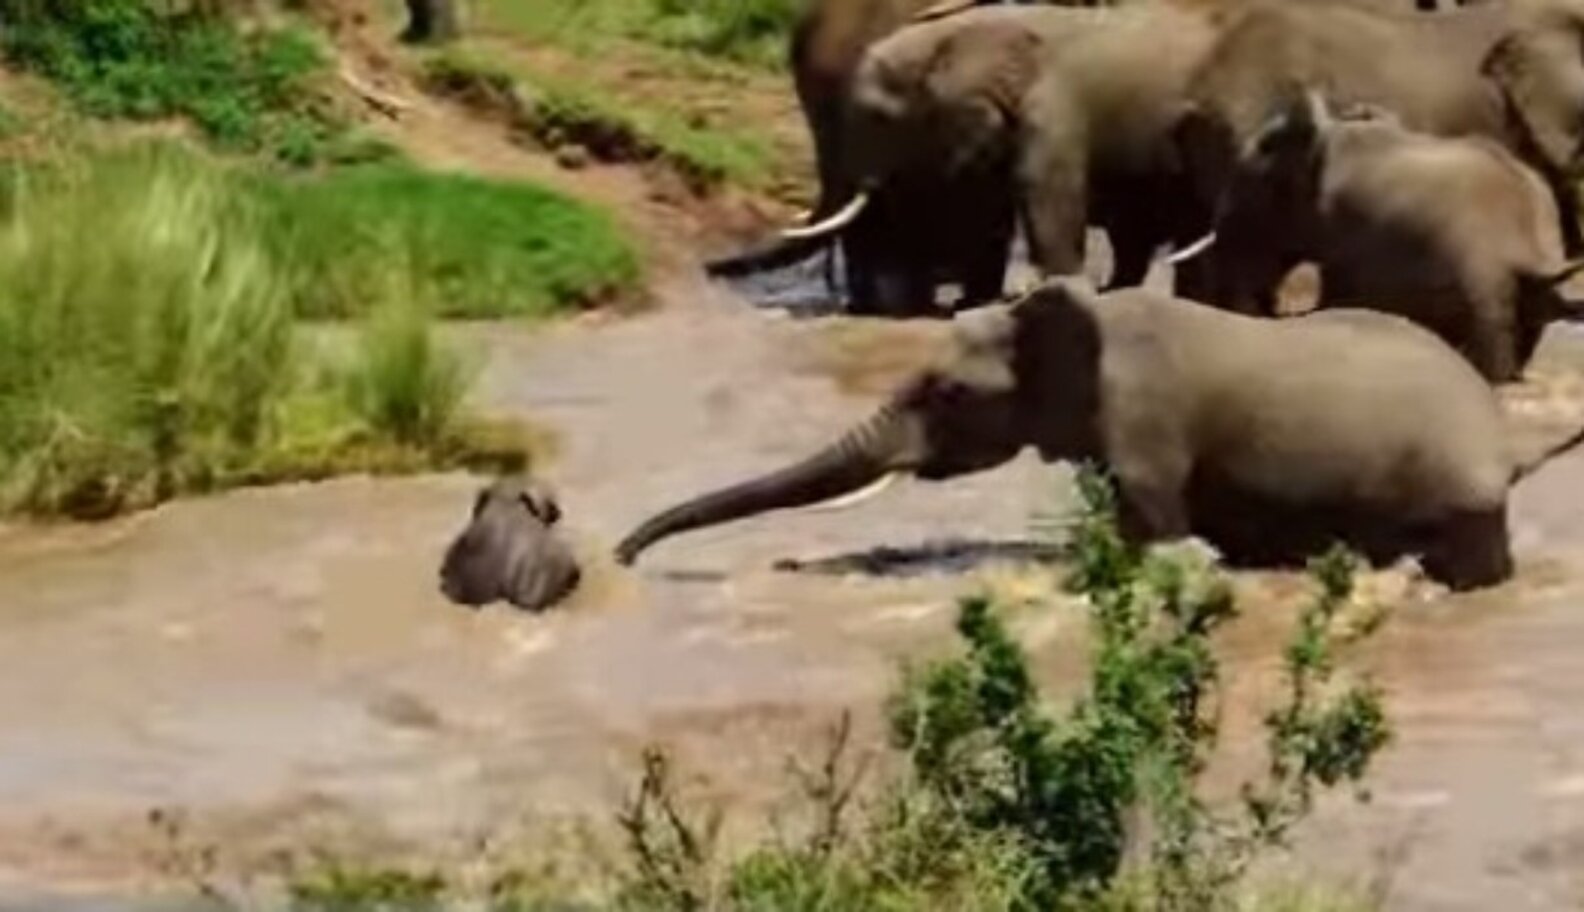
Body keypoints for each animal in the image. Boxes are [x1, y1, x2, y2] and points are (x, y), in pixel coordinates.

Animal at [615, 277, 1584, 590]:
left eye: (948, 393)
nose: (620, 558)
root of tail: (1504, 438)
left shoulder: (1147, 420)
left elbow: (1149, 528)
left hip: (1459, 498)